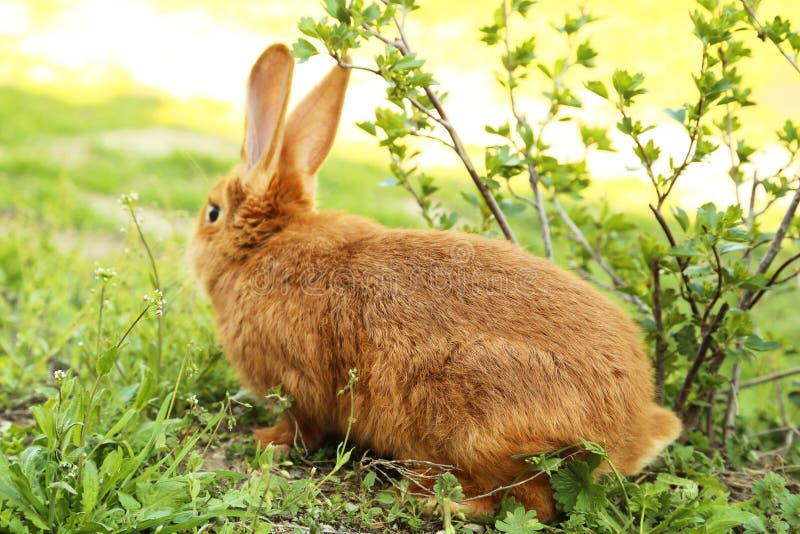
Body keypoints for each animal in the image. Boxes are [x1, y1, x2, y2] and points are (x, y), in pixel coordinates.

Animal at [189, 43, 682, 522]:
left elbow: (300, 427)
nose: (191, 251)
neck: (266, 243)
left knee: (526, 505)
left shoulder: (297, 385)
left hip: (477, 426)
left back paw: (429, 500)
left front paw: (264, 439)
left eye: (212, 212)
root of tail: (633, 431)